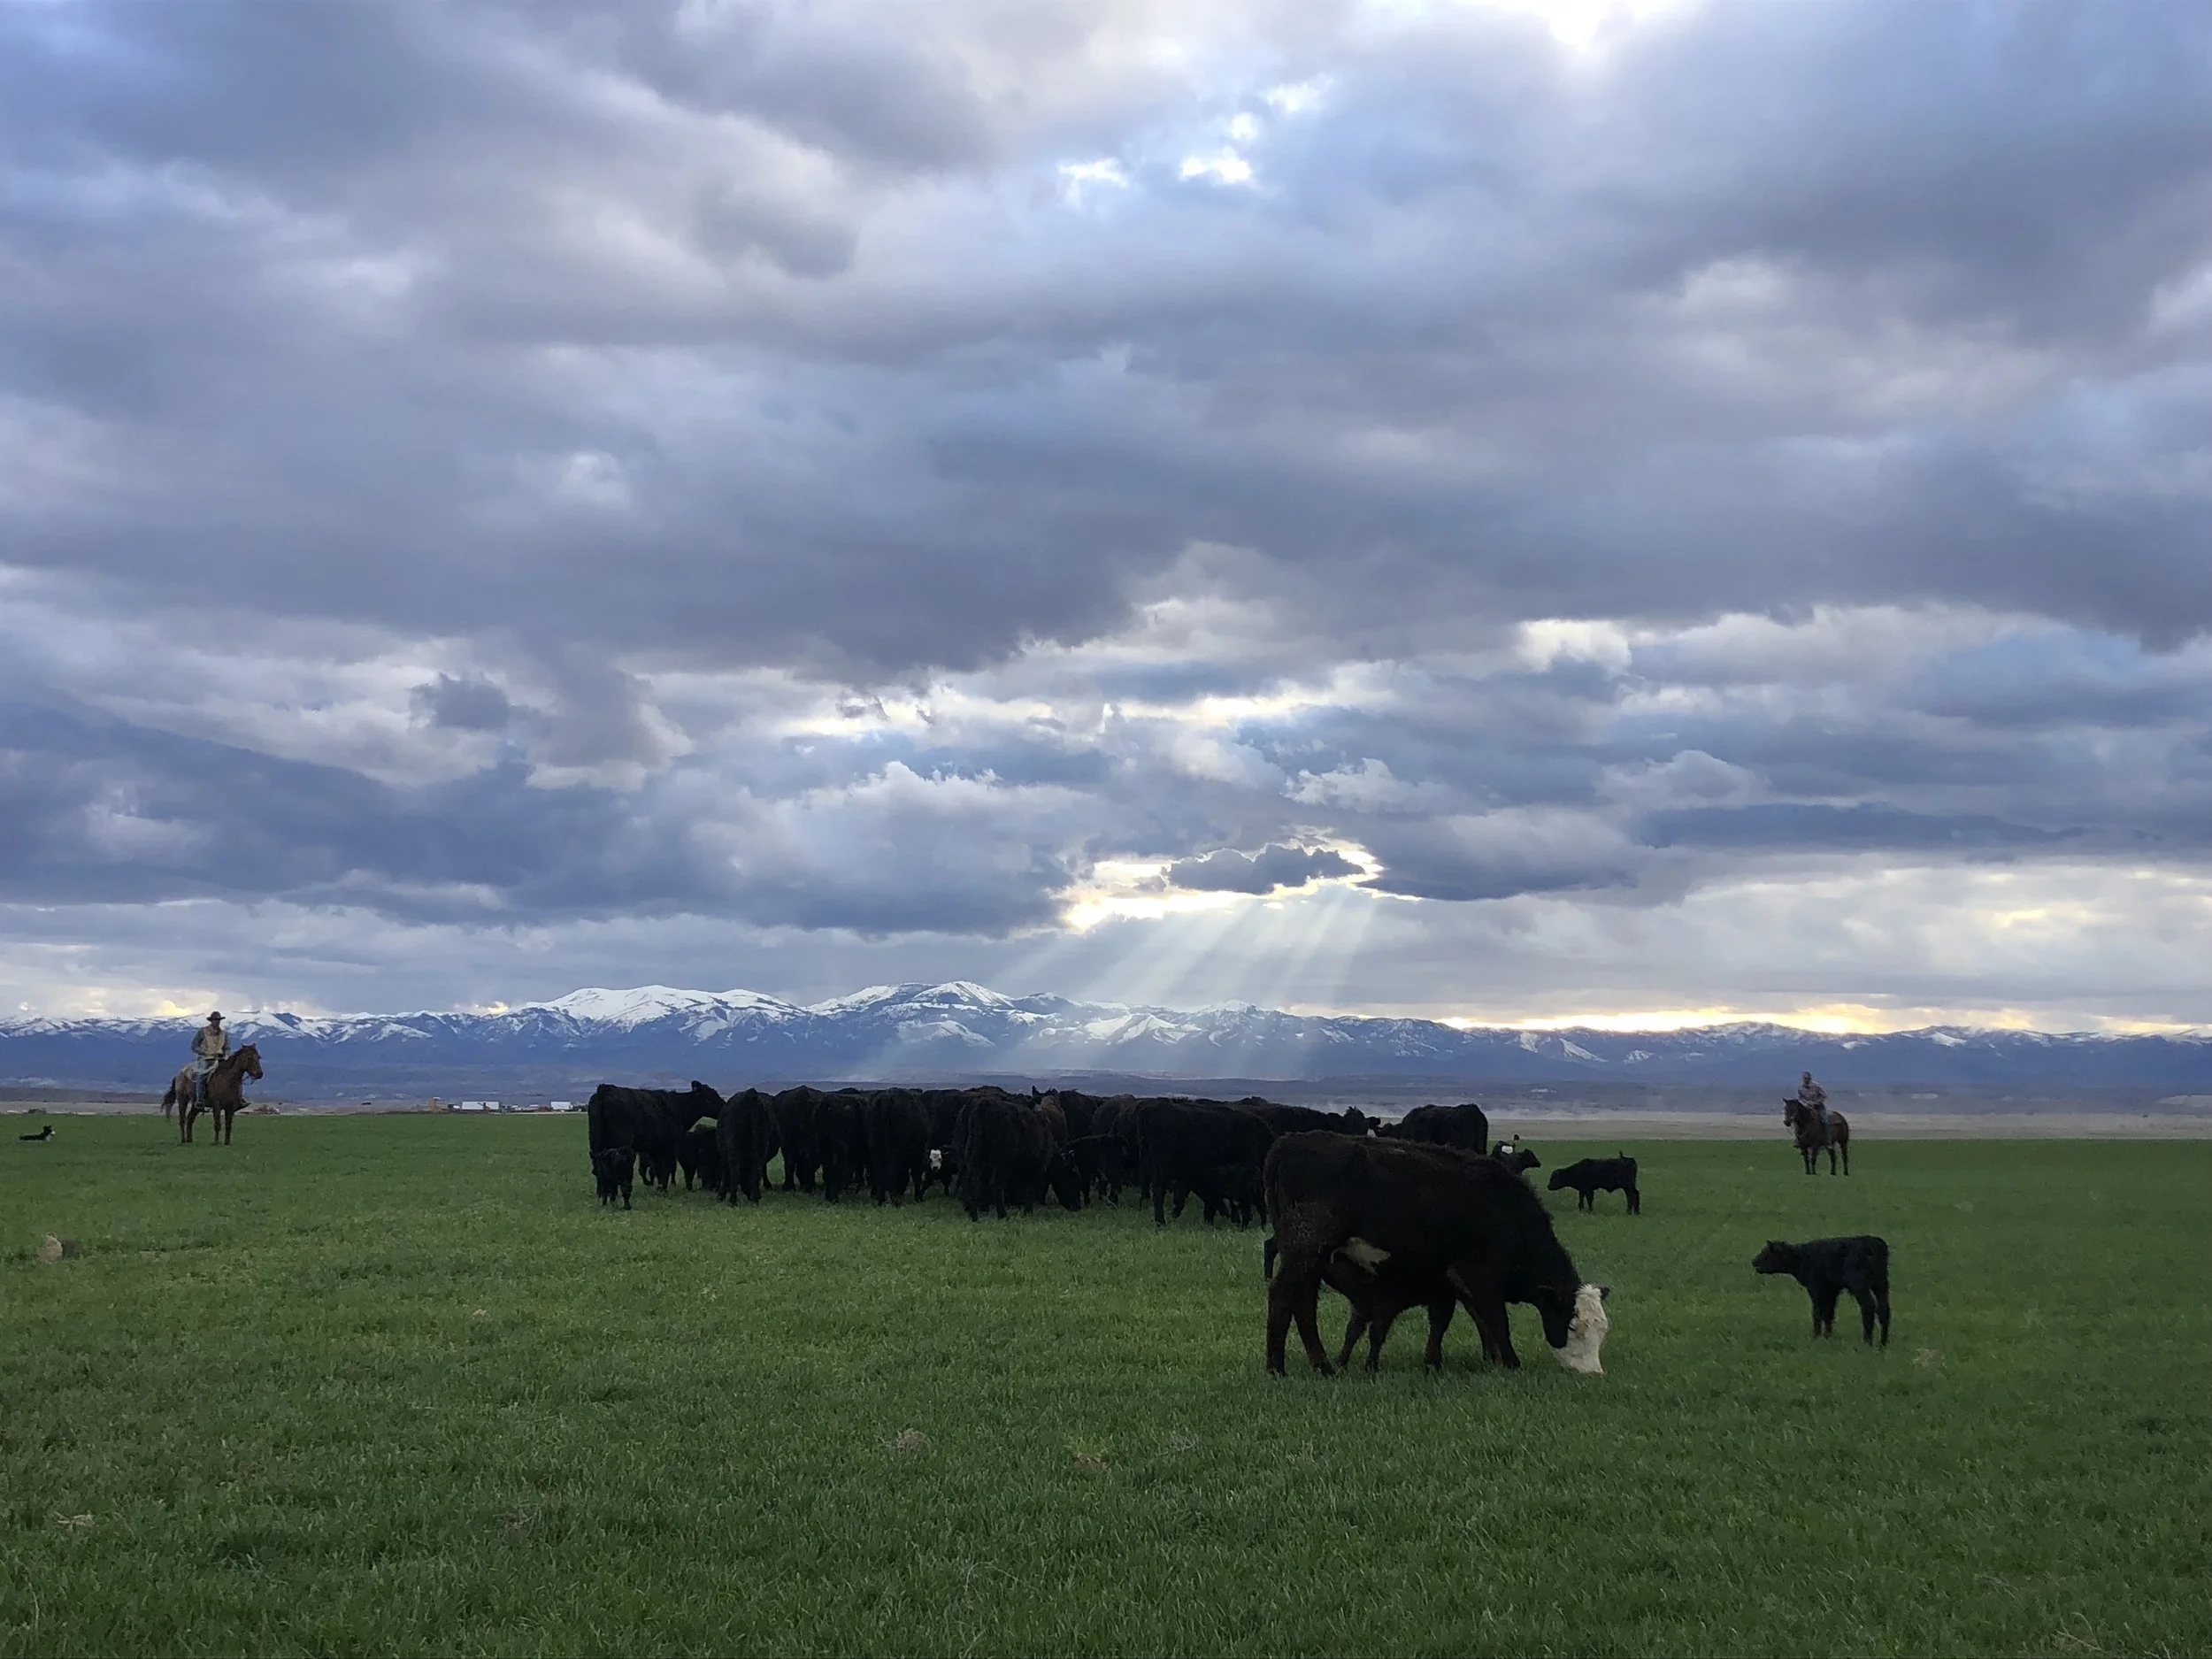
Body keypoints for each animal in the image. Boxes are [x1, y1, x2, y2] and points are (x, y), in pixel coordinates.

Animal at [715, 1087, 776, 1205]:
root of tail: (750, 1095)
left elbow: (726, 1173)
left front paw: (721, 1196)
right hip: (761, 1142)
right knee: (757, 1170)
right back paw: (755, 1200)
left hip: (733, 1146)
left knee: (735, 1172)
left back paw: (732, 1201)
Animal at [1262, 1132, 1607, 1376]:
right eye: (1573, 1326)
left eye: (1602, 1330)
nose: (1593, 1372)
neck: (1508, 1214)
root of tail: (1291, 1141)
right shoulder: (1480, 1276)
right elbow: (1496, 1319)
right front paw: (1510, 1362)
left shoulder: (1449, 1282)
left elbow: (1458, 1320)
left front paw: (1464, 1360)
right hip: (1305, 1247)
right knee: (1283, 1295)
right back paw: (1277, 1367)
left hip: (1311, 1256)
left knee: (1304, 1301)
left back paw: (1322, 1365)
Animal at [1754, 1236, 1891, 1347]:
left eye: (1767, 1253)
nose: (1753, 1262)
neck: (1802, 1258)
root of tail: (1874, 1244)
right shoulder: (1831, 1290)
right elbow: (1829, 1313)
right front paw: (1827, 1336)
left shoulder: (1816, 1288)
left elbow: (1817, 1312)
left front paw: (1816, 1335)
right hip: (1881, 1284)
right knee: (1883, 1309)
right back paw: (1883, 1343)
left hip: (1860, 1284)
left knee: (1868, 1306)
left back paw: (1867, 1341)